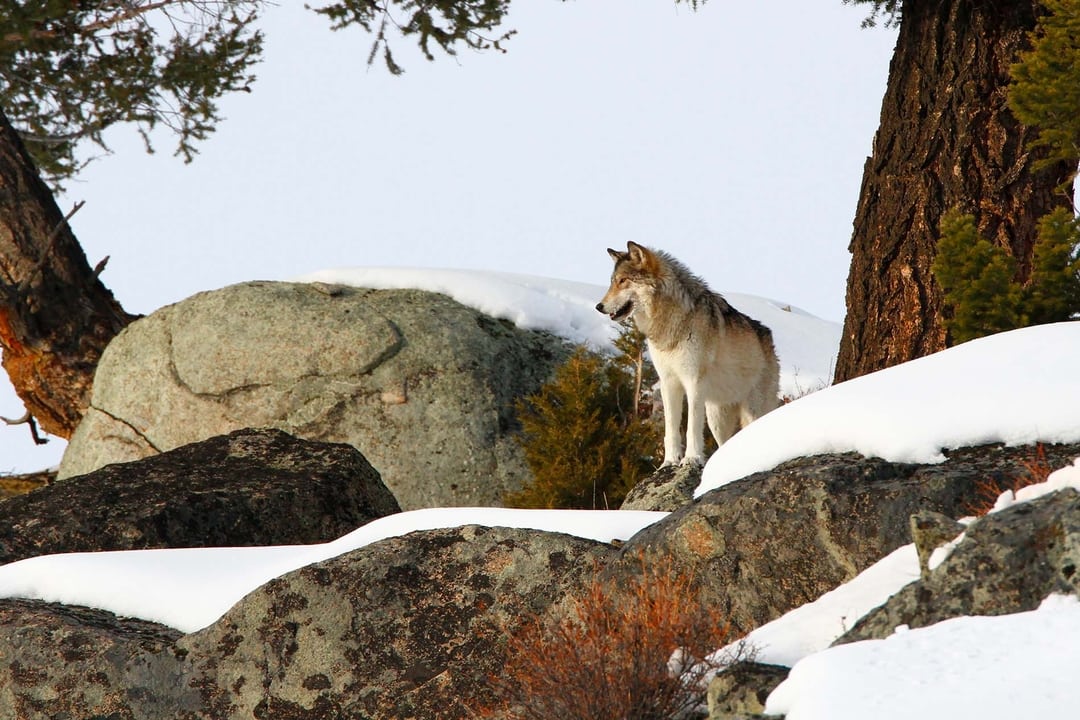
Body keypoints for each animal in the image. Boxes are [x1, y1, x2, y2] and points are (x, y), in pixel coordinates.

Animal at [596, 241, 780, 467]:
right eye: (612, 282)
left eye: (622, 281)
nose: (599, 306)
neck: (673, 323)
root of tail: (770, 341)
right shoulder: (668, 382)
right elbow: (671, 428)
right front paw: (669, 462)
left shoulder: (694, 382)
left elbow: (692, 426)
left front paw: (691, 458)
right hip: (716, 418)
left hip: (751, 411)